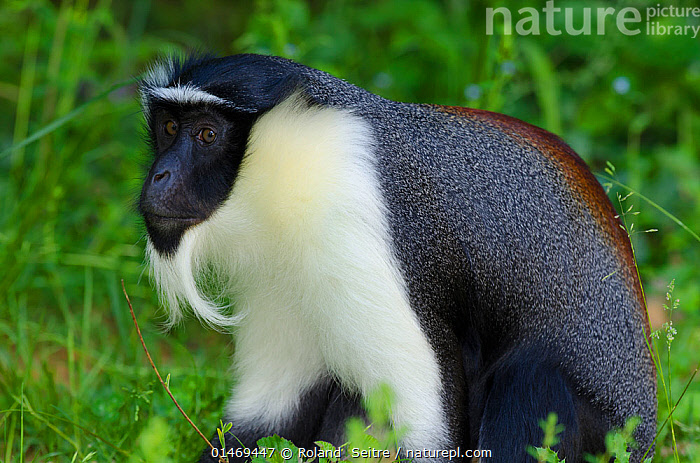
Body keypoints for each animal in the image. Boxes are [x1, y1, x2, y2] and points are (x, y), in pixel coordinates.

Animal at [137, 53, 657, 463]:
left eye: (207, 134)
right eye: (169, 128)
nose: (158, 175)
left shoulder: (354, 223)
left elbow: (424, 430)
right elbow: (268, 418)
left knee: (532, 377)